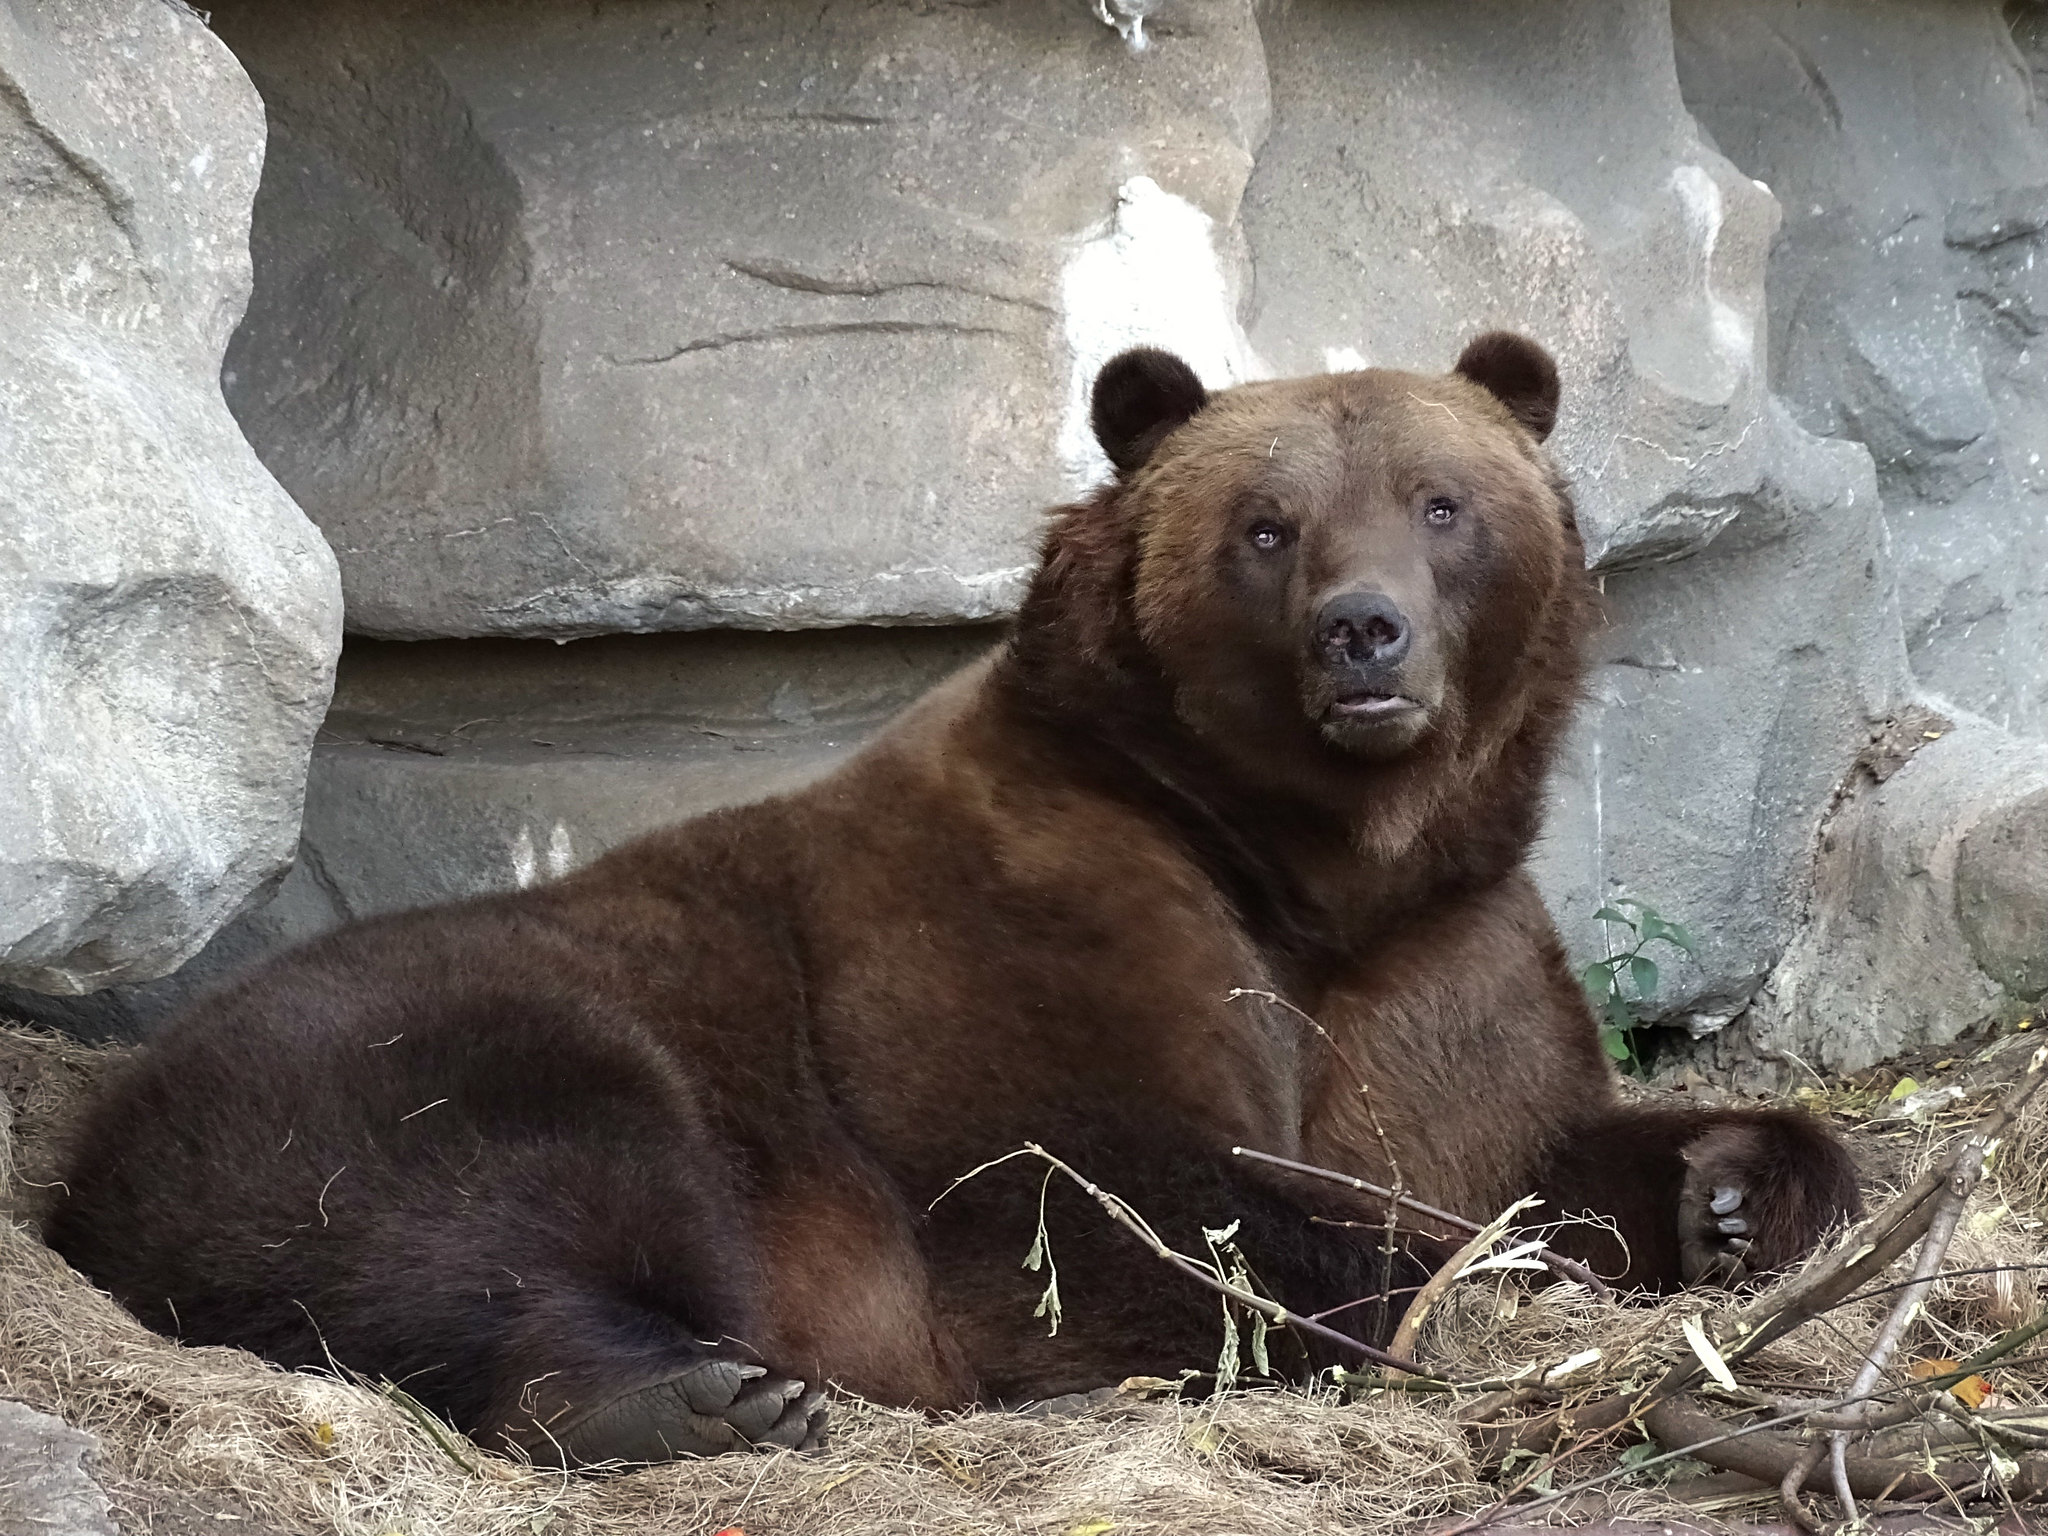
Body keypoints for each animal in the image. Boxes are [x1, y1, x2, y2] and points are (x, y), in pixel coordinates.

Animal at [45, 333, 1861, 1466]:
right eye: (1267, 526)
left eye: (1442, 502)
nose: (1366, 632)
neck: (1302, 859)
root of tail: (91, 1137)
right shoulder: (1033, 915)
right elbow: (1105, 1195)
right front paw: (1455, 1282)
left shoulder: (1441, 958)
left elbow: (1519, 1132)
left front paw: (1729, 1192)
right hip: (410, 1047)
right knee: (503, 1188)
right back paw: (685, 1397)